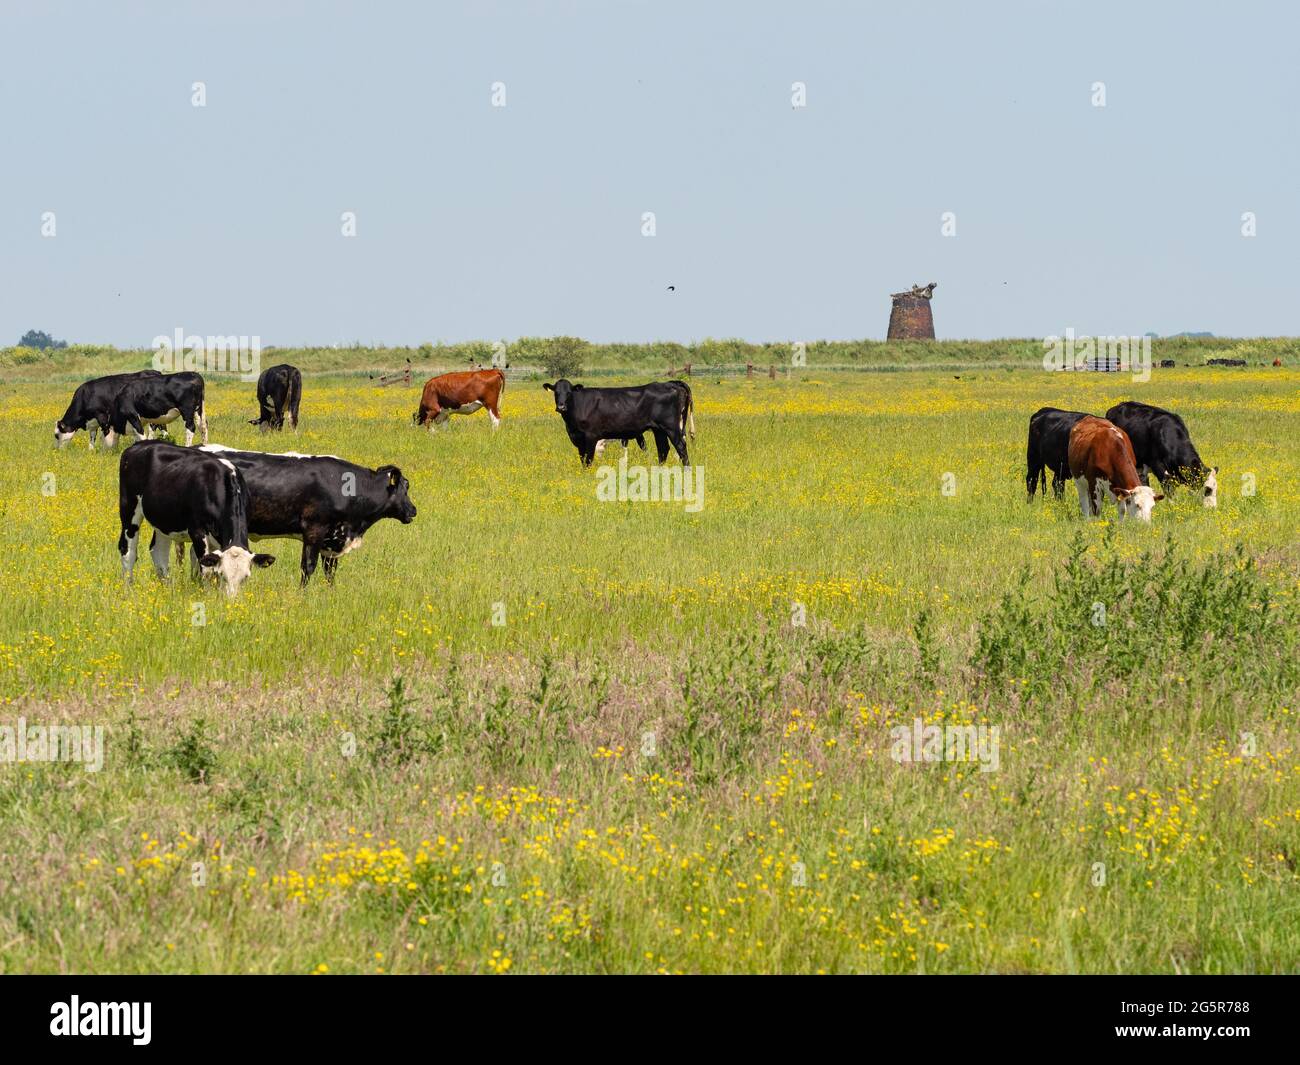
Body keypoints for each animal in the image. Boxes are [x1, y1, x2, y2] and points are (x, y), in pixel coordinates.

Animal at [118, 440, 275, 597]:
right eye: (223, 575)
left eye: (245, 577)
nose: (231, 599)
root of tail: (139, 444)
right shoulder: (197, 531)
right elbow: (207, 571)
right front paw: (209, 596)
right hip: (129, 509)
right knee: (127, 550)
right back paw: (128, 589)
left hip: (164, 521)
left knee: (158, 551)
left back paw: (167, 589)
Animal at [199, 445, 417, 586]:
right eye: (405, 487)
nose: (413, 510)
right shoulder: (314, 531)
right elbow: (308, 568)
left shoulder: (331, 541)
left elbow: (330, 571)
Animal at [543, 379, 694, 467]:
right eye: (556, 392)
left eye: (569, 393)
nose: (561, 407)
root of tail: (669, 384)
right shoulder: (578, 438)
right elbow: (582, 459)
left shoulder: (591, 436)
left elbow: (589, 459)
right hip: (659, 429)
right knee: (663, 449)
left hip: (671, 427)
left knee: (681, 446)